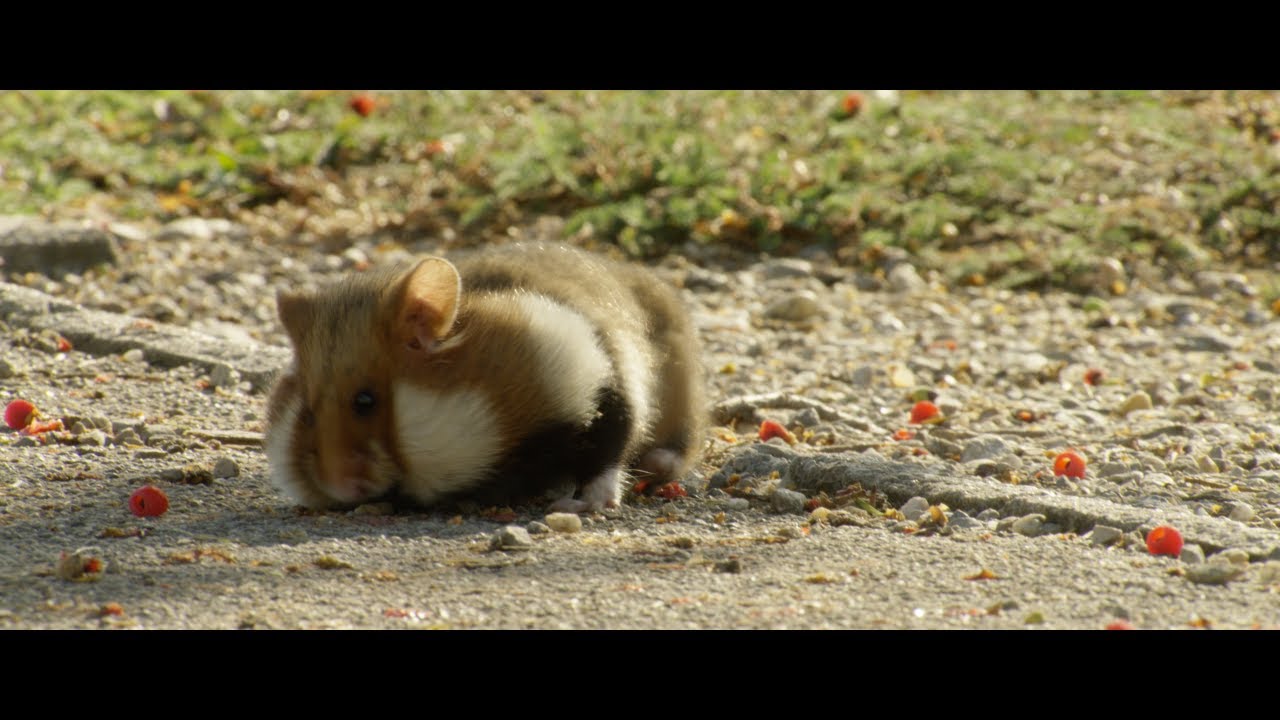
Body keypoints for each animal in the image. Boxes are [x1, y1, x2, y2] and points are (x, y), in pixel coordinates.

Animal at [263, 242, 706, 513]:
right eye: (306, 415)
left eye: (365, 401)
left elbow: (608, 449)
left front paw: (586, 504)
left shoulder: (602, 377)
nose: (338, 485)